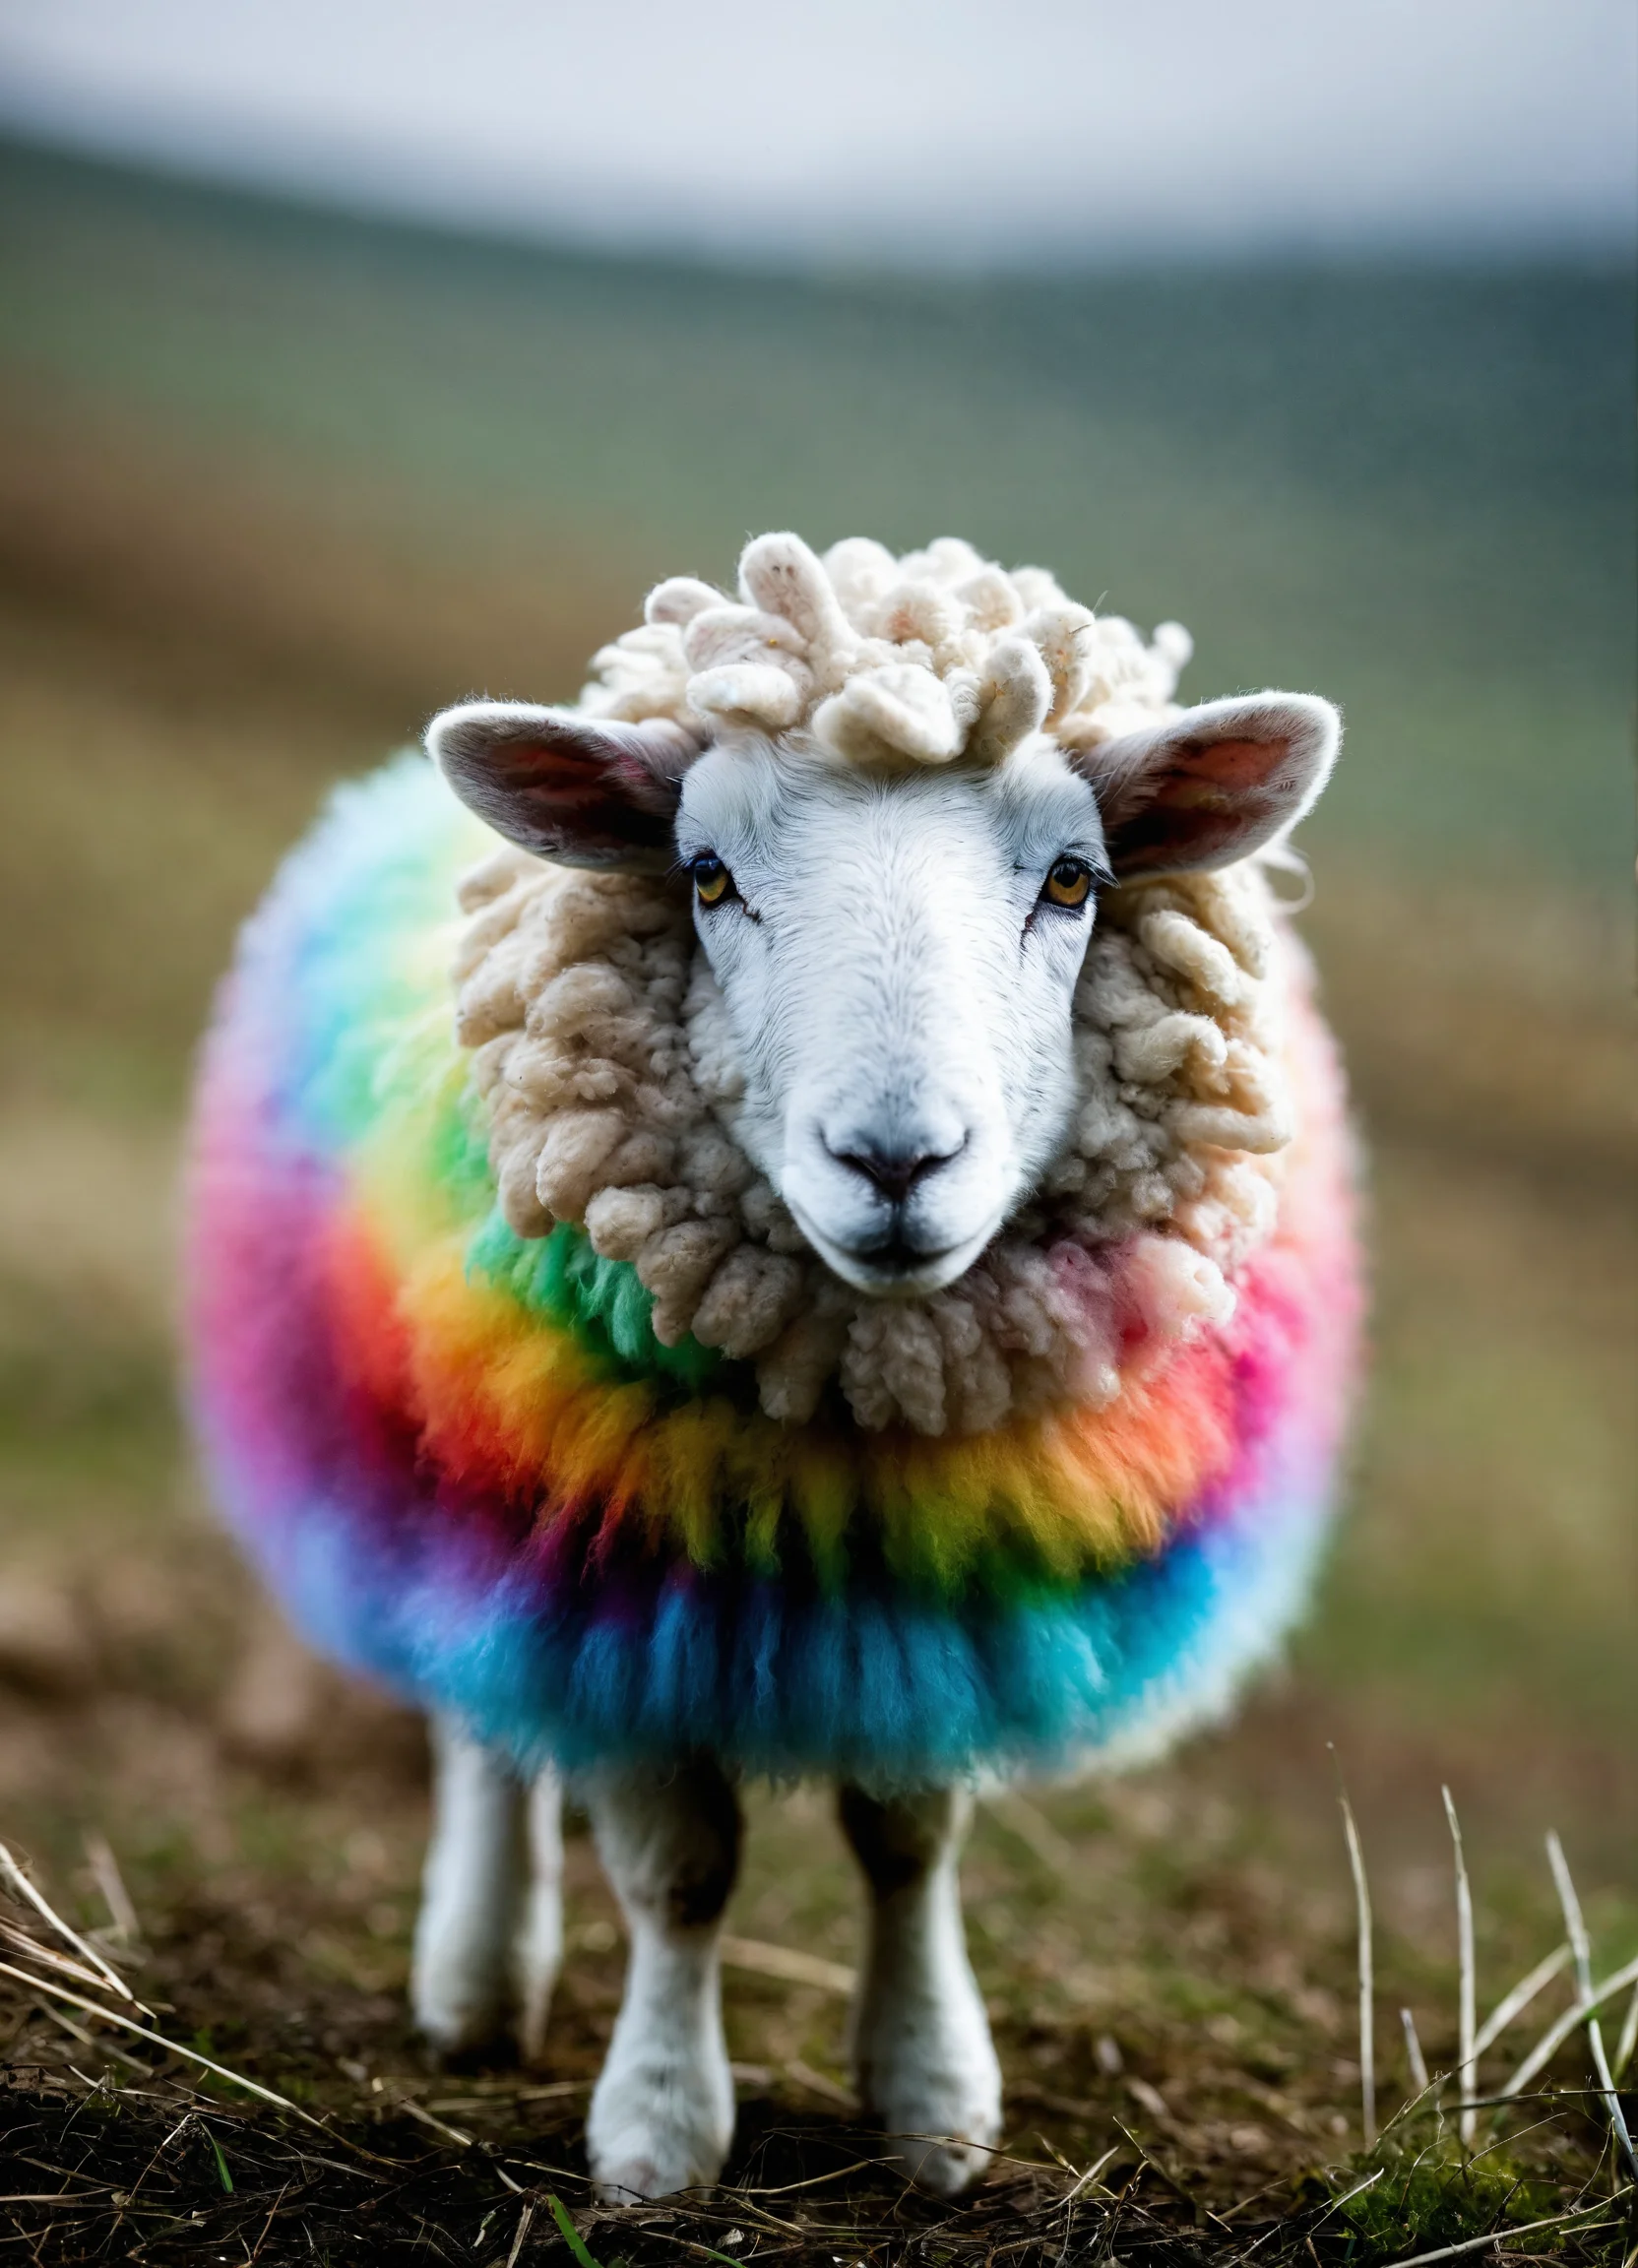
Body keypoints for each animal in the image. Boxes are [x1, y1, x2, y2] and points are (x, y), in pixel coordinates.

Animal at [184, 531, 1361, 2202]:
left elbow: (910, 1843)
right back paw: (478, 1977)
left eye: (1074, 879)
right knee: (482, 1709)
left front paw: (932, 2095)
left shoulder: (939, 1595)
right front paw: (661, 2132)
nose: (897, 1159)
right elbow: (680, 1874)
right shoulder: (620, 1576)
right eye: (707, 876)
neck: (852, 1399)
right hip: (460, 1453)